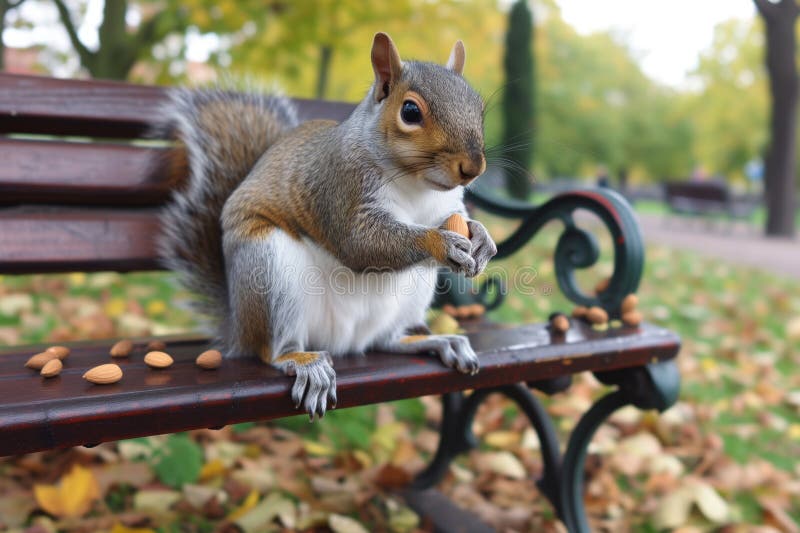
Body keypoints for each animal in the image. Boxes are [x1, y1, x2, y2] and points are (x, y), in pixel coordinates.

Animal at [156, 33, 497, 418]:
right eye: (410, 112)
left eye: (478, 107)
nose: (473, 167)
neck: (417, 183)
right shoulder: (339, 187)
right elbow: (360, 243)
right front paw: (440, 243)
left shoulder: (448, 205)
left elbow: (461, 220)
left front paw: (484, 239)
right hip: (269, 267)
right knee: (270, 350)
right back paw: (303, 362)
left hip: (413, 292)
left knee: (387, 339)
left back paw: (436, 340)